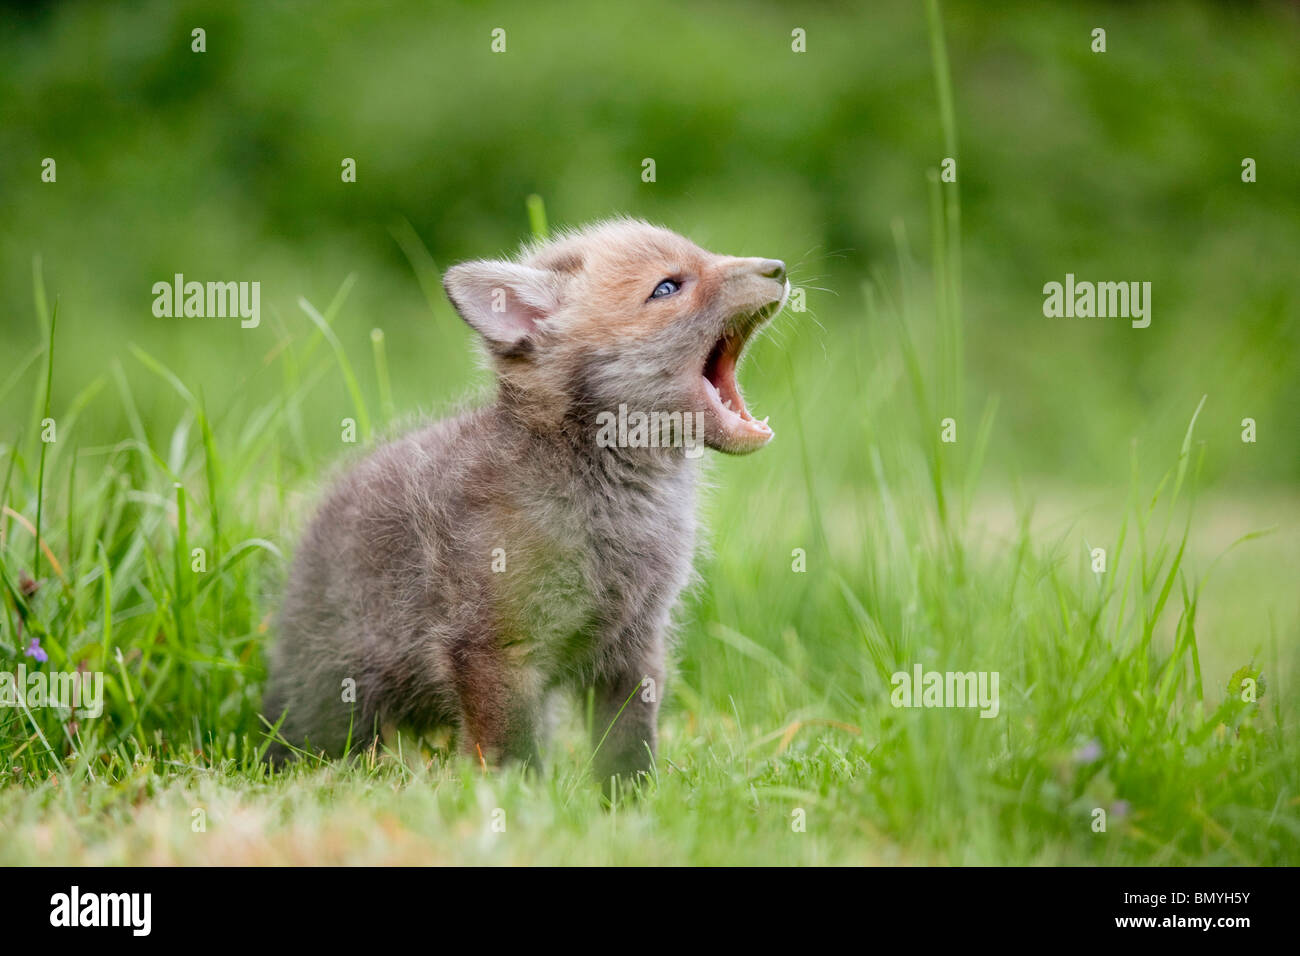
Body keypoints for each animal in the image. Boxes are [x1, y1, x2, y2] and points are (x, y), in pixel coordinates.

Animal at [262, 218, 788, 791]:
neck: (618, 500)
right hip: (334, 701)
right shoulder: (495, 649)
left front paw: (631, 806)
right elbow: (513, 759)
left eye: (706, 254)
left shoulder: (634, 649)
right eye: (667, 287)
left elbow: (628, 751)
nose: (778, 268)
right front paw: (521, 807)